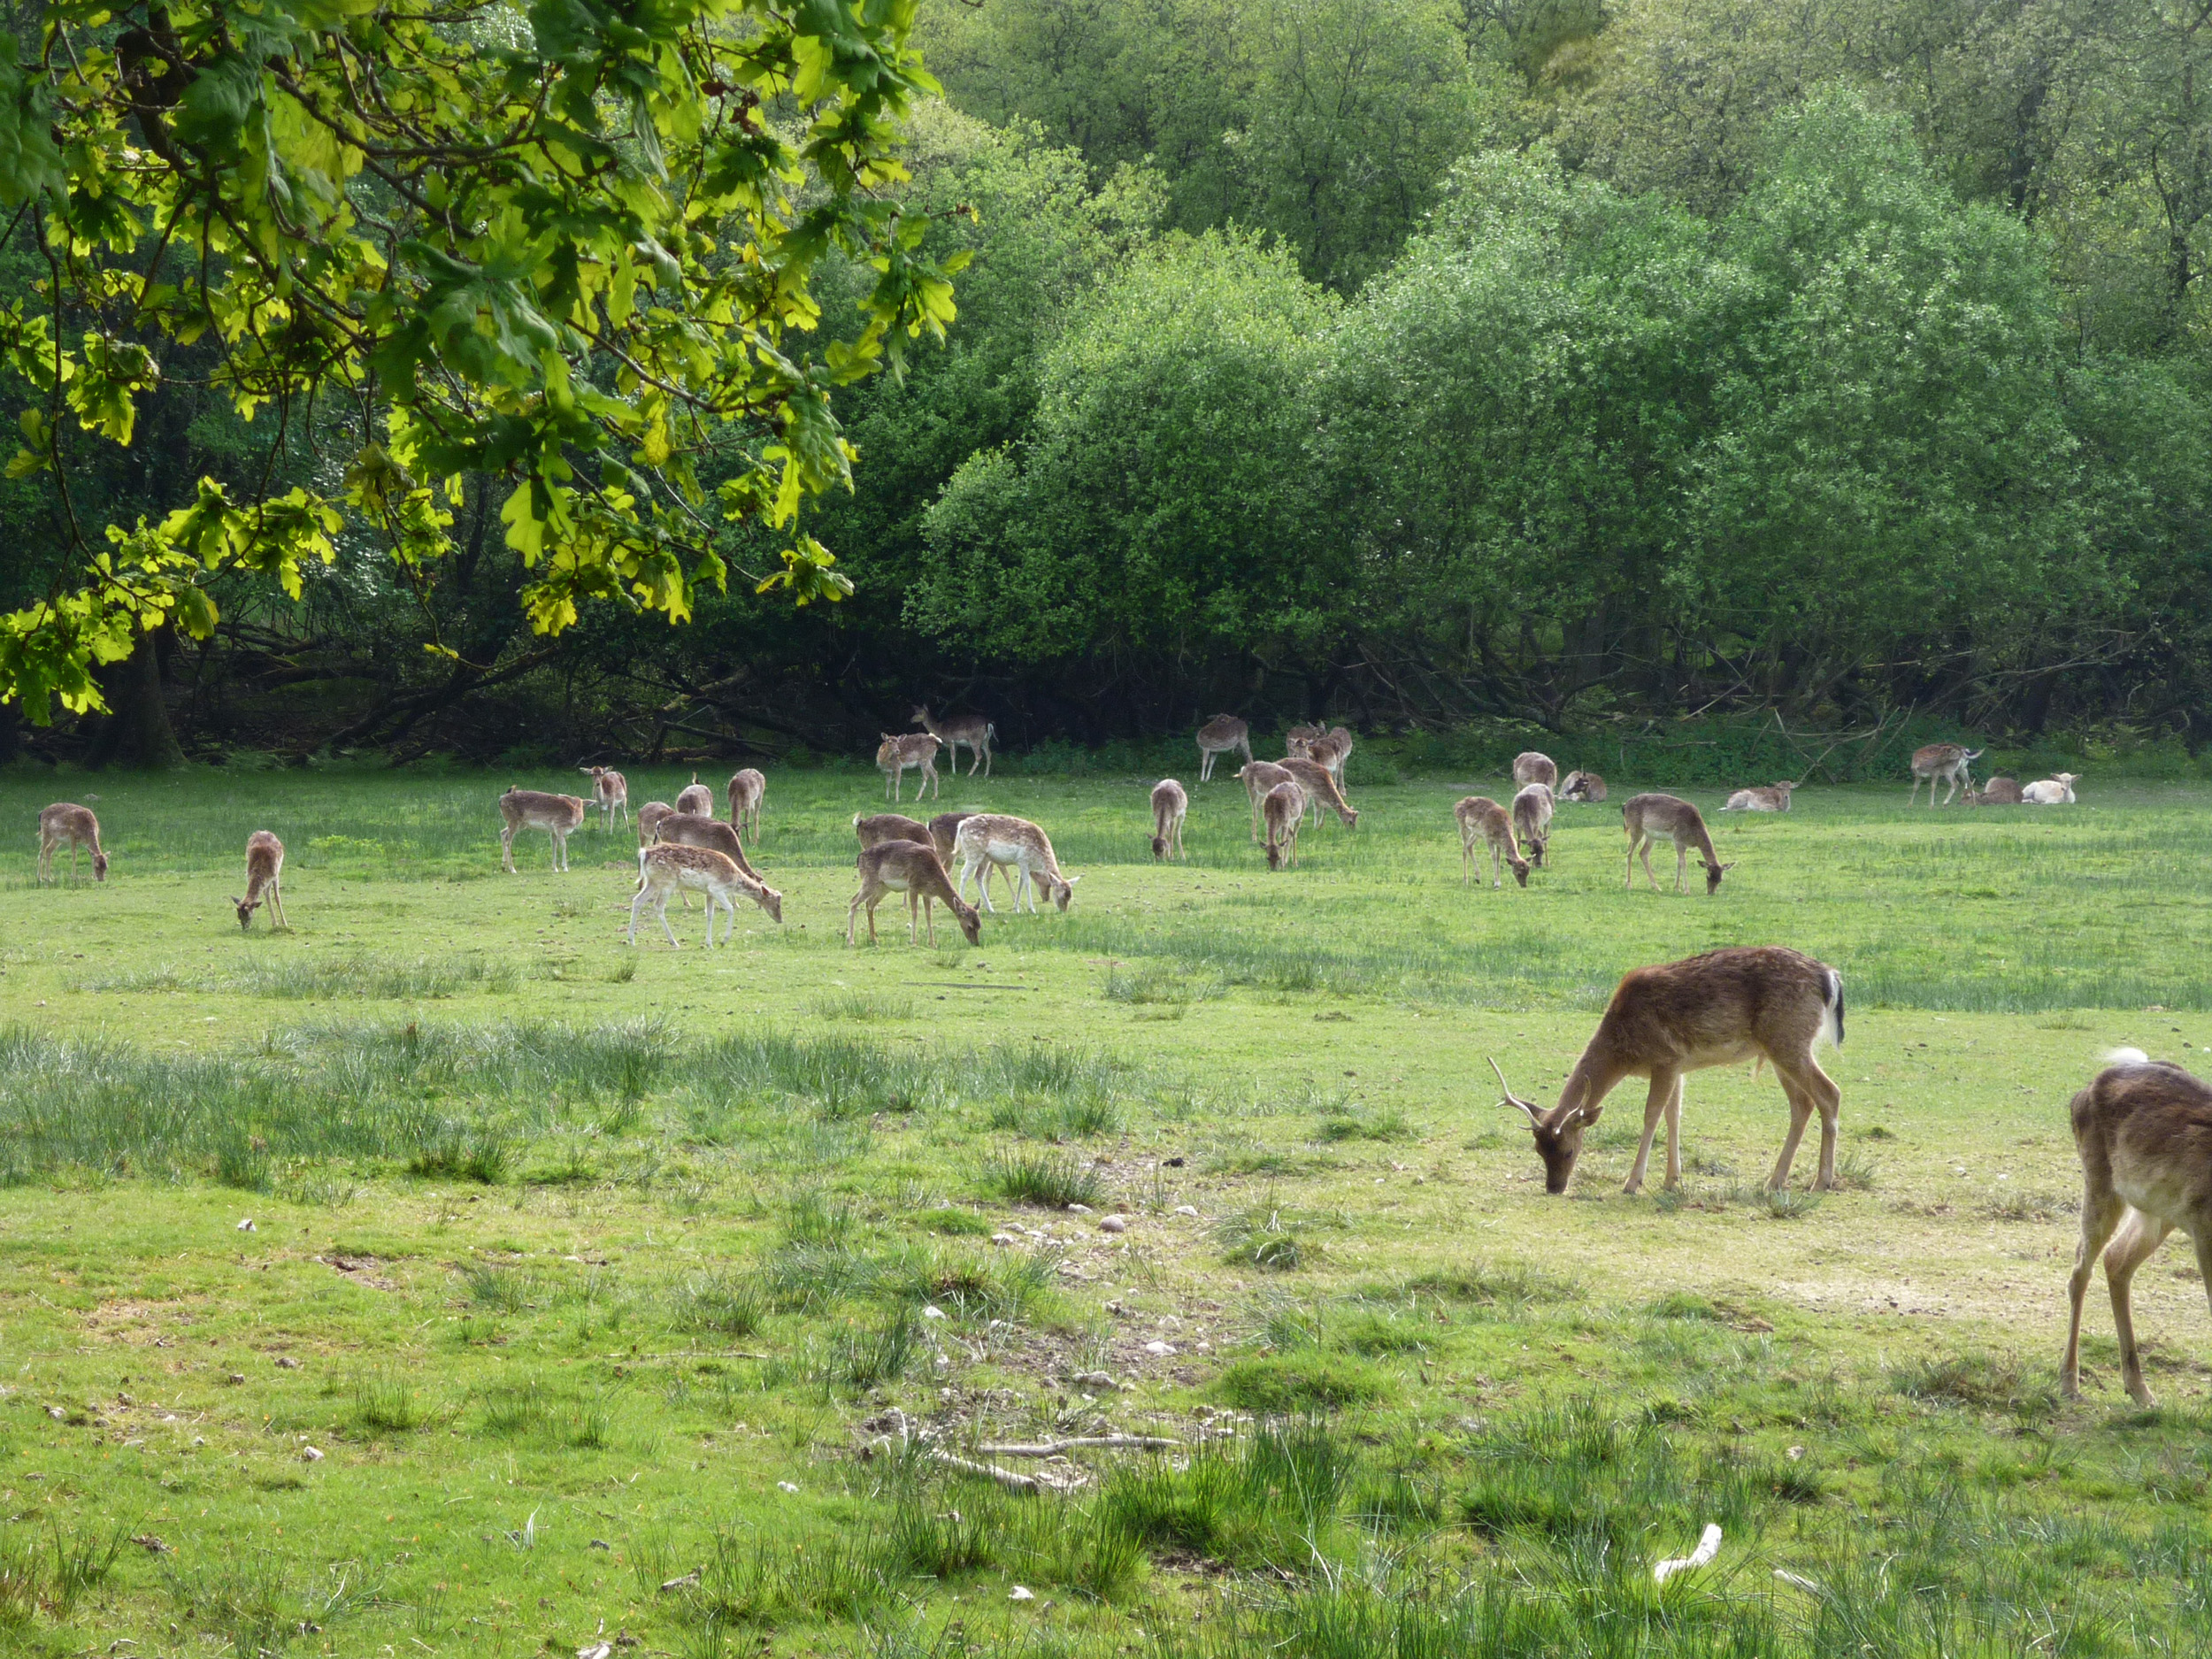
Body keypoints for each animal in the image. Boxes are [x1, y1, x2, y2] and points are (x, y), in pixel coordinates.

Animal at [629, 844, 783, 948]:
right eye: (777, 903)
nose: (780, 920)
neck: (734, 880)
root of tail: (644, 853)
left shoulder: (709, 893)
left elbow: (709, 914)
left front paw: (709, 944)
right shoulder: (716, 889)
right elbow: (730, 909)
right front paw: (723, 941)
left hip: (652, 881)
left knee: (637, 900)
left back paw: (631, 940)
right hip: (667, 882)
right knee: (658, 907)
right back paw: (674, 942)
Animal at [847, 840, 981, 947]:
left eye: (979, 925)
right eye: (970, 926)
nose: (976, 943)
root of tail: (859, 857)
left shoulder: (926, 893)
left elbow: (928, 915)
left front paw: (932, 943)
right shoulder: (913, 886)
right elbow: (915, 913)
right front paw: (913, 941)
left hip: (883, 886)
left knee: (869, 904)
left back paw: (874, 939)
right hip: (869, 879)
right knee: (854, 901)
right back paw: (851, 941)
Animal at [954, 814, 1079, 913]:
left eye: (1070, 896)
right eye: (1062, 895)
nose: (1063, 910)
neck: (1039, 855)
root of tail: (961, 825)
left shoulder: (1022, 864)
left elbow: (1021, 884)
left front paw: (1016, 909)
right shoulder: (1023, 860)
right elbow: (1027, 883)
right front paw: (1031, 909)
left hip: (985, 857)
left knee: (978, 877)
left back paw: (990, 909)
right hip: (973, 853)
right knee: (964, 873)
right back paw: (963, 905)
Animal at [1491, 946, 1845, 1196]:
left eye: (1567, 1151)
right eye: (1538, 1150)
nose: (1554, 1188)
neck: (1623, 1050)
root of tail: (1829, 976)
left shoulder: (1665, 1058)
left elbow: (1651, 1116)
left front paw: (1633, 1182)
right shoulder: (1678, 1066)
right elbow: (1674, 1116)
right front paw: (1672, 1180)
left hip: (1789, 1040)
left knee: (1830, 1093)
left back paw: (1821, 1182)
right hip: (1779, 1049)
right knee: (1803, 1104)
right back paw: (1774, 1181)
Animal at [2059, 1050, 2212, 1408]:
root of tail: (2081, 1094)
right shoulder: (2204, 1228)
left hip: (2158, 1209)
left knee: (2116, 1260)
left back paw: (2140, 1390)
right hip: (2099, 1180)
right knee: (2081, 1269)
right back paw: (2069, 1382)